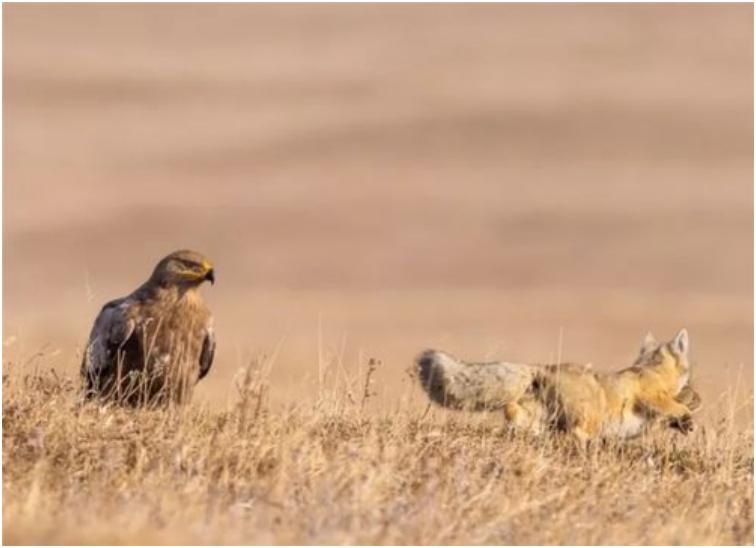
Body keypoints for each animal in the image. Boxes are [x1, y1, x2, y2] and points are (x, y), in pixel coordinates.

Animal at [416, 329, 701, 441]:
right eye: (689, 375)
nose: (697, 393)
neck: (652, 369)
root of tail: (542, 368)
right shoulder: (649, 395)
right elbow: (671, 406)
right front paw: (687, 416)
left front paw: (684, 422)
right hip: (590, 415)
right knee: (577, 431)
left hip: (534, 415)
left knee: (513, 413)